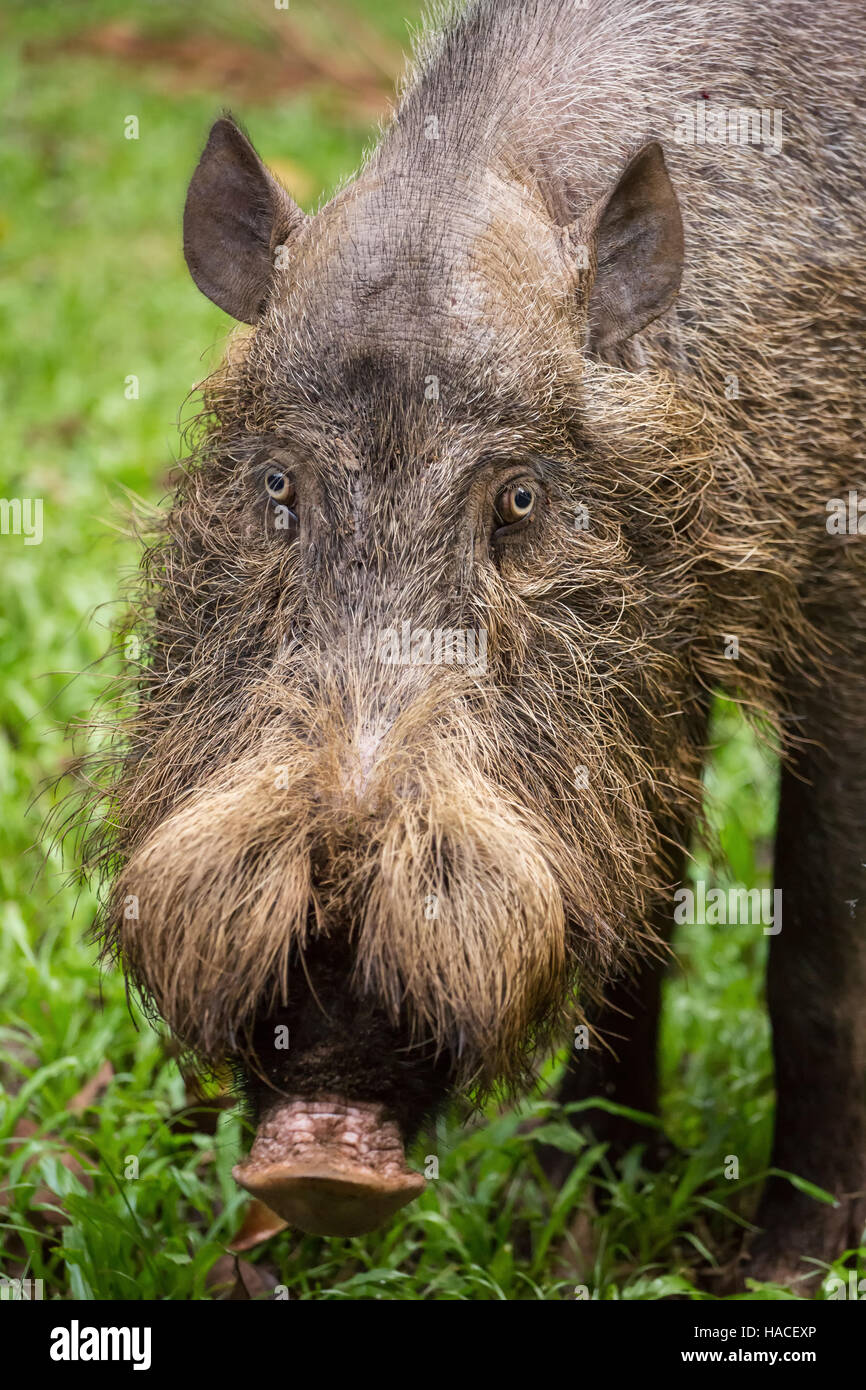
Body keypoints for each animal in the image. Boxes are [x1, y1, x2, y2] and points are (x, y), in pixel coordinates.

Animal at [86, 0, 866, 1289]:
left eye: (521, 498)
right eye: (275, 483)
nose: (321, 1160)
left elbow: (813, 955)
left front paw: (781, 1268)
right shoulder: (651, 671)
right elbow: (637, 912)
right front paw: (575, 1190)